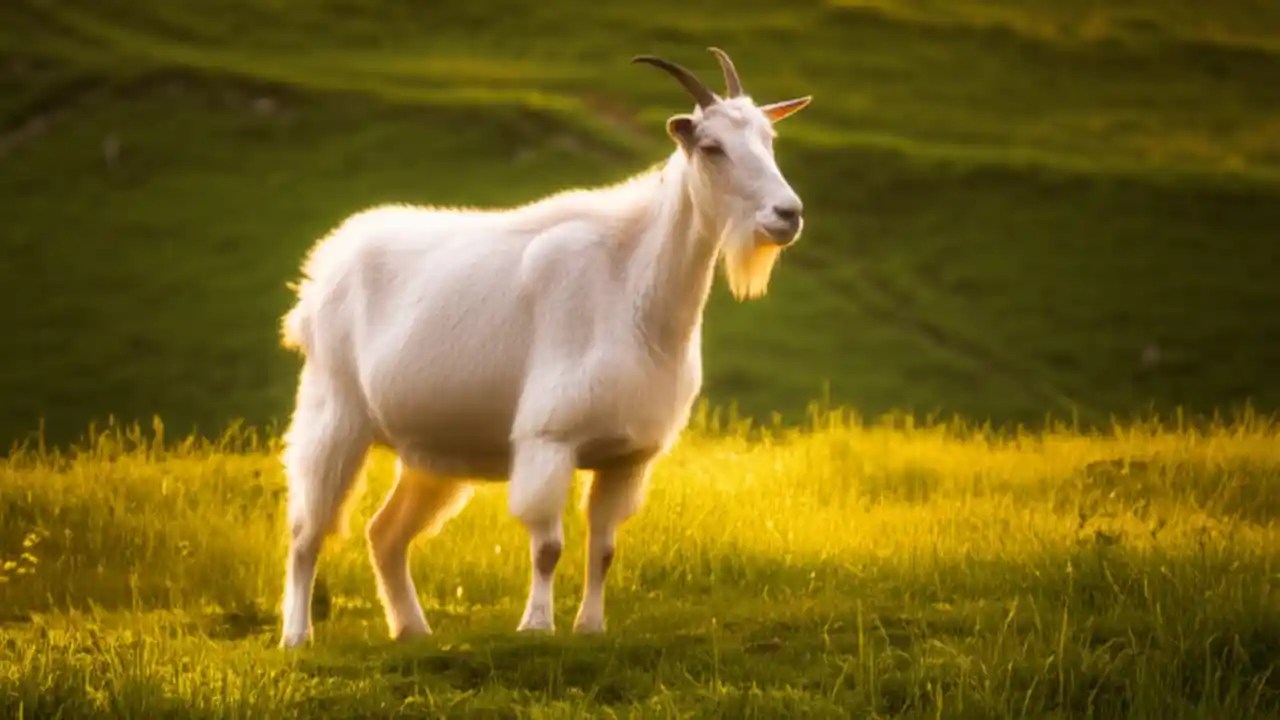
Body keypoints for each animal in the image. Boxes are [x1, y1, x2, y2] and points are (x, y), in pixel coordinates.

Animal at [277, 47, 812, 647]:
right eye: (712, 146)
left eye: (769, 138)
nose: (787, 214)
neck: (631, 289)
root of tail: (321, 272)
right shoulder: (549, 440)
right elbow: (548, 547)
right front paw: (535, 625)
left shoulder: (627, 457)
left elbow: (603, 549)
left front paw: (591, 627)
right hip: (334, 415)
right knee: (306, 529)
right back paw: (297, 636)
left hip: (430, 451)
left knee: (384, 533)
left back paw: (414, 630)